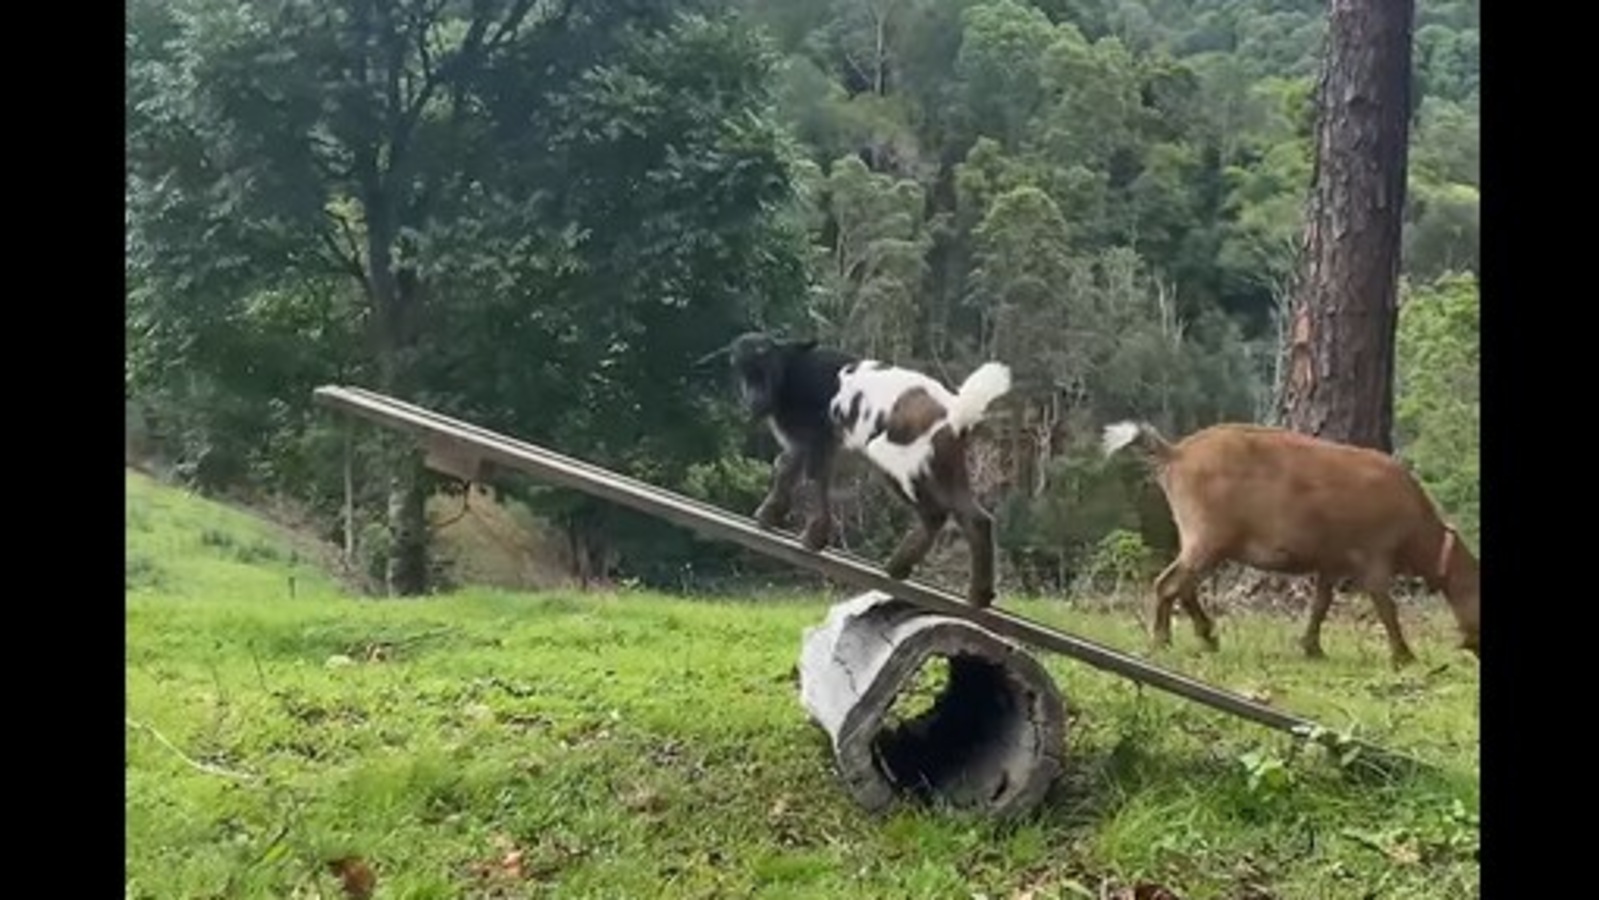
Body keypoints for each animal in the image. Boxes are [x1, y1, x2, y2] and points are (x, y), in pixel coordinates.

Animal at [699, 332, 1013, 607]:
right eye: (740, 371)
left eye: (768, 367)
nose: (754, 399)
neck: (793, 374)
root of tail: (955, 412)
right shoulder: (803, 440)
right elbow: (786, 467)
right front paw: (770, 515)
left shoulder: (819, 435)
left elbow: (813, 478)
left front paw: (814, 537)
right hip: (946, 466)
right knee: (975, 518)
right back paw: (974, 593)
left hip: (898, 460)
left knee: (935, 513)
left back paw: (901, 567)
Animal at [1100, 420, 1479, 668]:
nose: (1474, 645)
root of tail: (1176, 453)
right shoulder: (1374, 554)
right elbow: (1386, 606)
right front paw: (1405, 655)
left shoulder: (1331, 561)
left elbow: (1321, 604)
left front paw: (1313, 648)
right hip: (1207, 535)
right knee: (1168, 583)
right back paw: (1162, 640)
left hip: (1204, 540)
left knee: (1183, 585)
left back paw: (1207, 636)